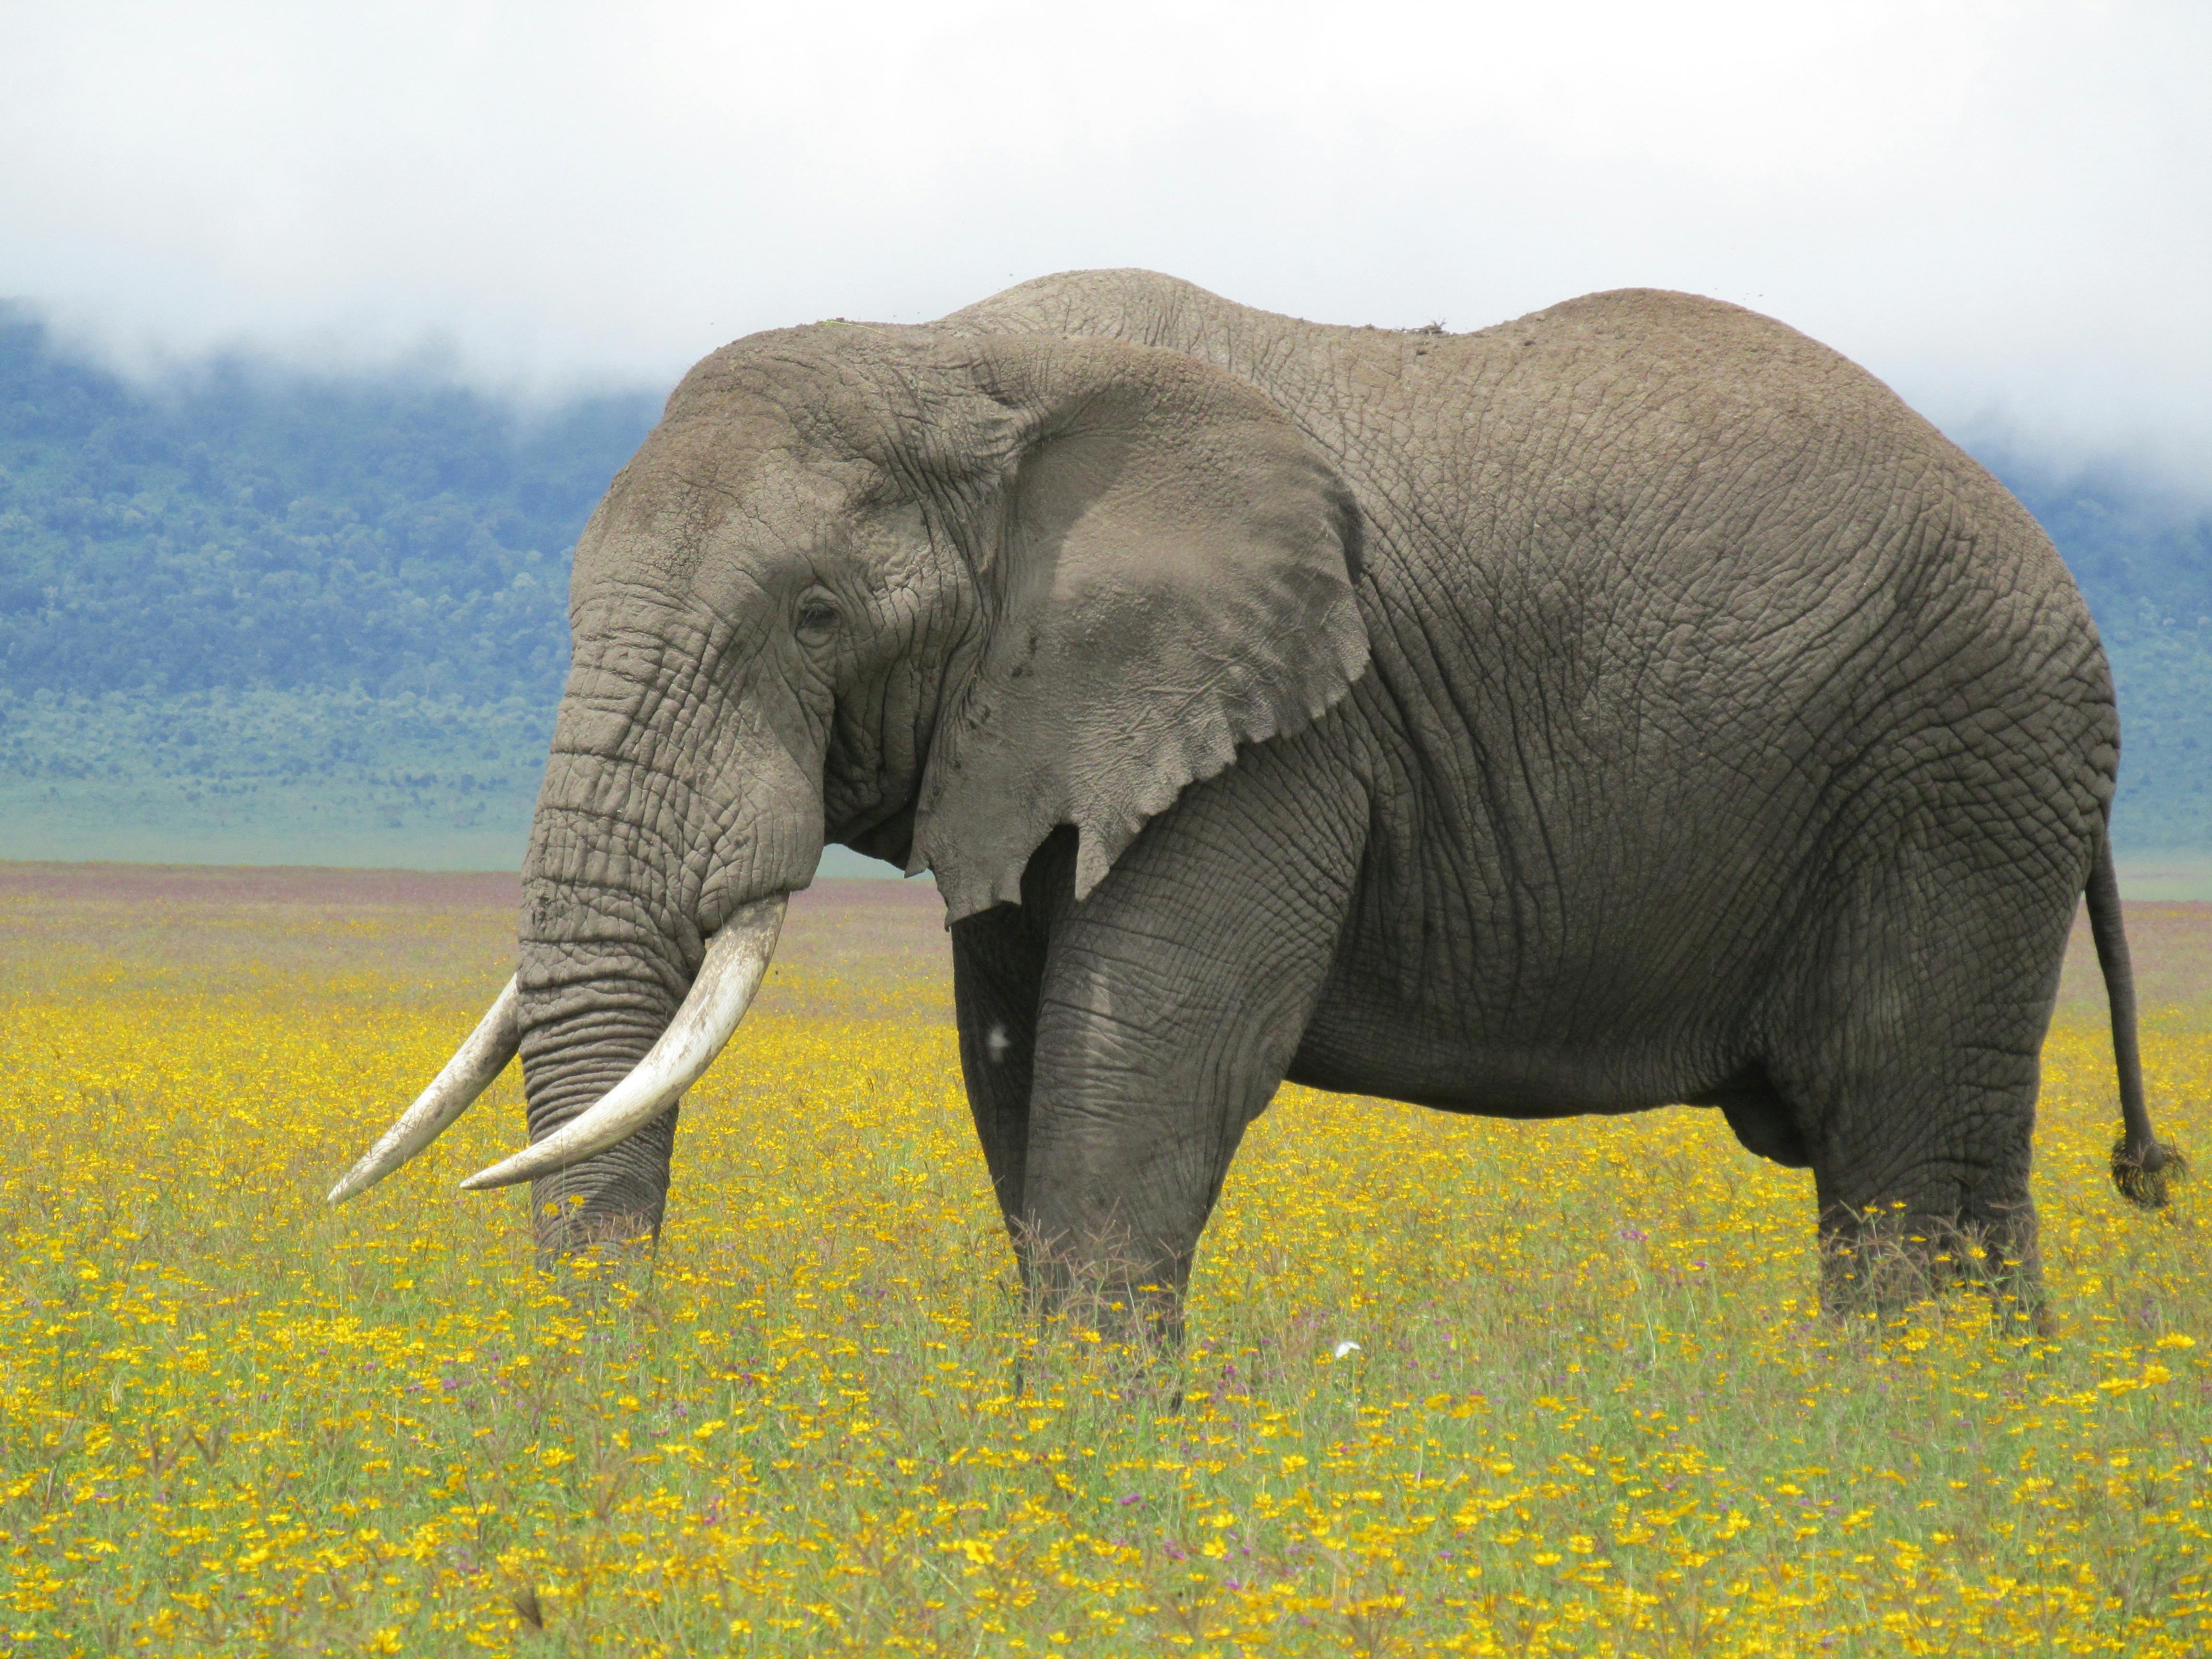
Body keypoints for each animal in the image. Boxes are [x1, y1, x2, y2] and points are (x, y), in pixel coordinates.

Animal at [330, 268, 2181, 1330]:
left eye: (813, 619)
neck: (967, 361)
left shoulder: (1285, 725)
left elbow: (1150, 1053)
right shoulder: (1035, 730)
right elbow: (1015, 1062)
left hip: (1957, 777)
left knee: (1897, 1159)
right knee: (1960, 1172)